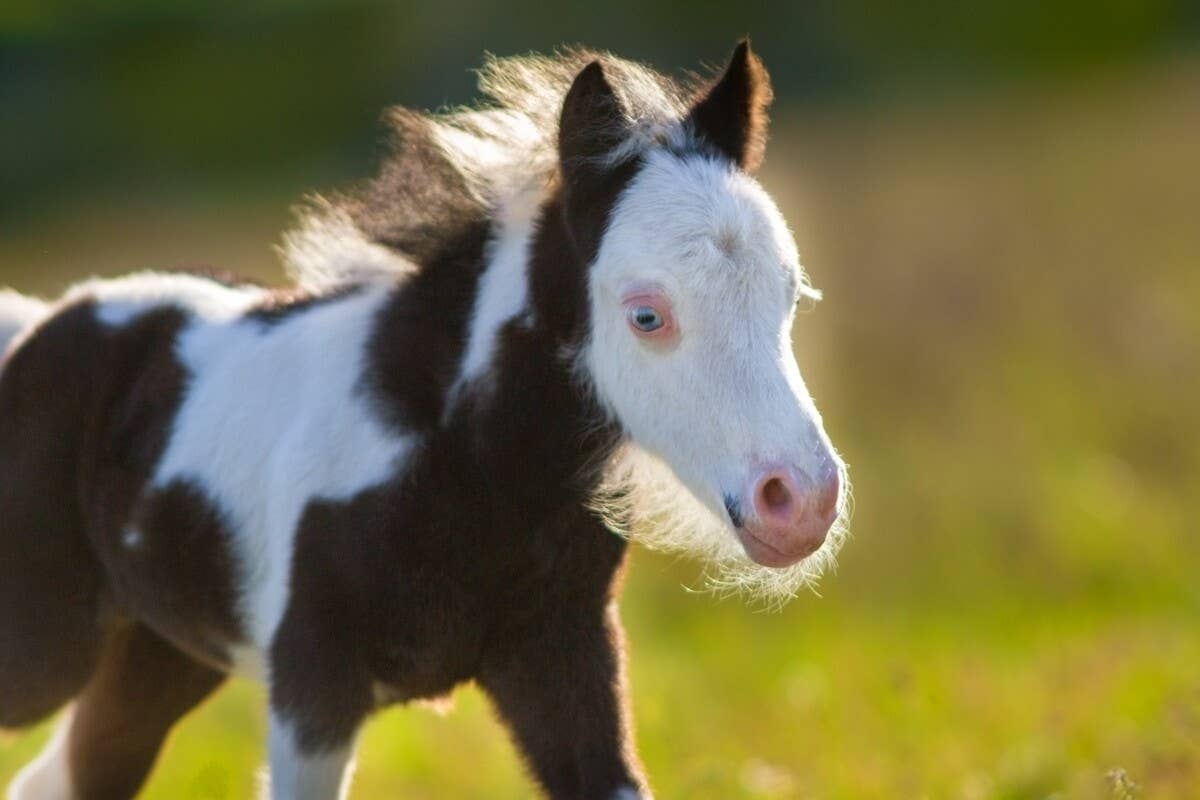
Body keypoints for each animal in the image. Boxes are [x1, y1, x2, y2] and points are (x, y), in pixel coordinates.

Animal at [0, 41, 849, 800]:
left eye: (791, 292)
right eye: (647, 315)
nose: (801, 502)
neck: (466, 472)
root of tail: (37, 323)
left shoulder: (564, 660)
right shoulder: (312, 688)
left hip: (161, 654)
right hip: (47, 642)